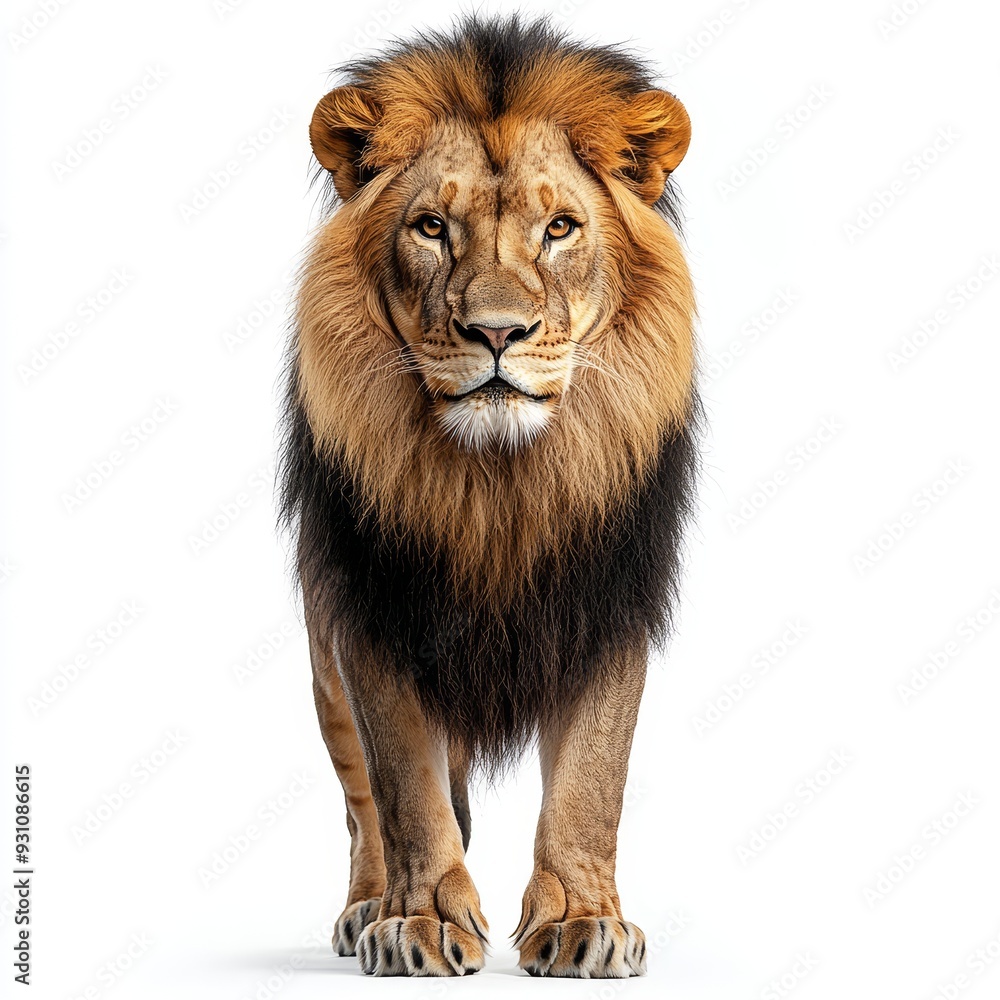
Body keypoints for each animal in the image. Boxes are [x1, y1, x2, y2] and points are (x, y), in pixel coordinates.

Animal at [279, 16, 698, 979]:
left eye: (560, 228)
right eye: (433, 228)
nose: (497, 332)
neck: (498, 484)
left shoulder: (607, 599)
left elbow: (592, 781)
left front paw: (584, 921)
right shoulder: (373, 611)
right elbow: (404, 790)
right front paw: (420, 919)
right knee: (360, 805)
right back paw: (367, 908)